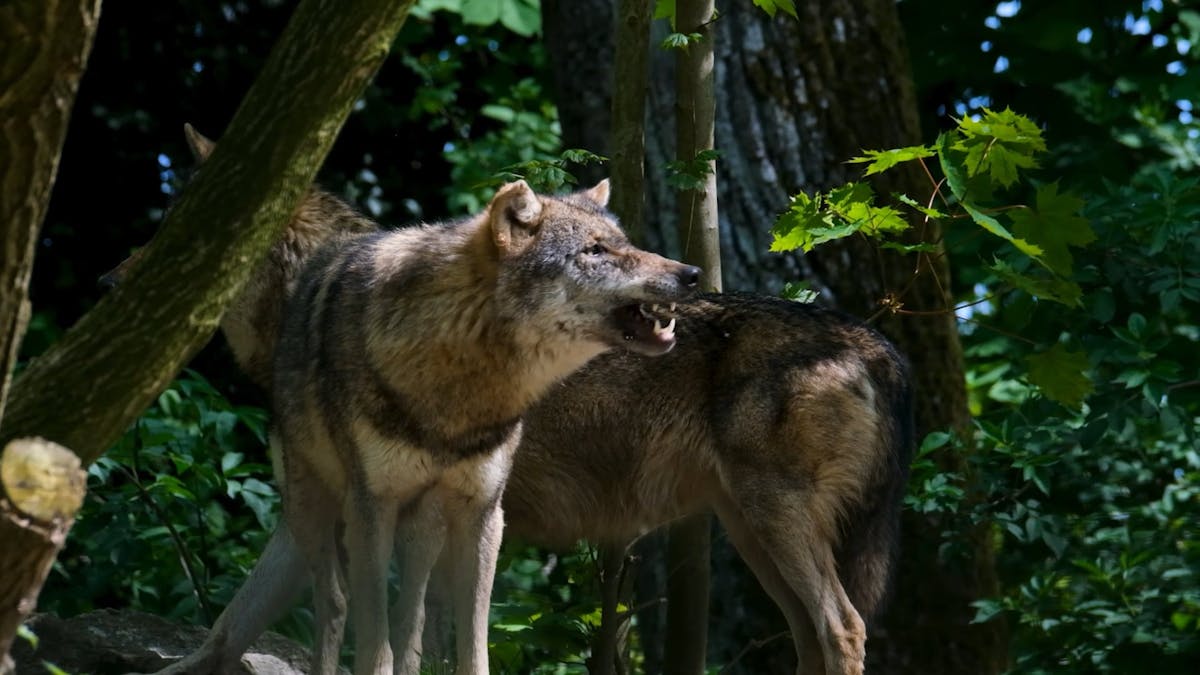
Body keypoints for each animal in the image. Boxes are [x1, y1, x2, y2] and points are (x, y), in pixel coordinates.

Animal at [115, 128, 911, 675]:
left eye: (185, 229)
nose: (115, 279)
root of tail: (875, 343)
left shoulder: (437, 513)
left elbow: (412, 634)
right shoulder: (323, 511)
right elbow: (231, 625)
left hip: (772, 522)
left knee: (843, 628)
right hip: (751, 532)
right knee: (813, 637)